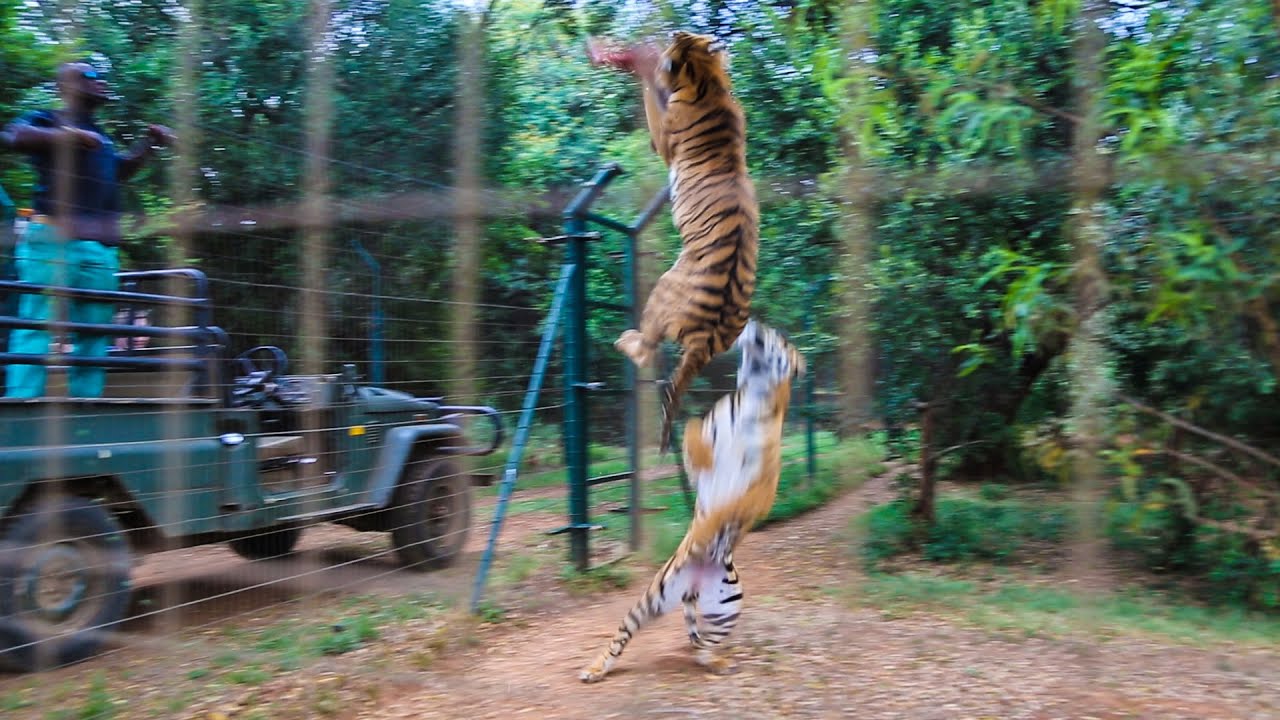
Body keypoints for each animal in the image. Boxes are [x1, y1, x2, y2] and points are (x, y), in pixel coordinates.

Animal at [579, 319, 804, 683]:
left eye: (779, 338)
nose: (755, 323)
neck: (754, 394)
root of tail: (693, 587)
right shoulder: (705, 452)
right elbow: (694, 432)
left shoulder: (761, 485)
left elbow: (729, 507)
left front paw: (707, 527)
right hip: (652, 600)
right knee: (622, 637)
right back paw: (594, 669)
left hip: (728, 608)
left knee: (703, 646)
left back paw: (719, 663)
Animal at [589, 30, 760, 455]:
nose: (673, 33)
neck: (708, 82)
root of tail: (708, 338)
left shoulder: (663, 140)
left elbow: (653, 96)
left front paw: (641, 61)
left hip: (660, 293)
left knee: (645, 350)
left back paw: (624, 339)